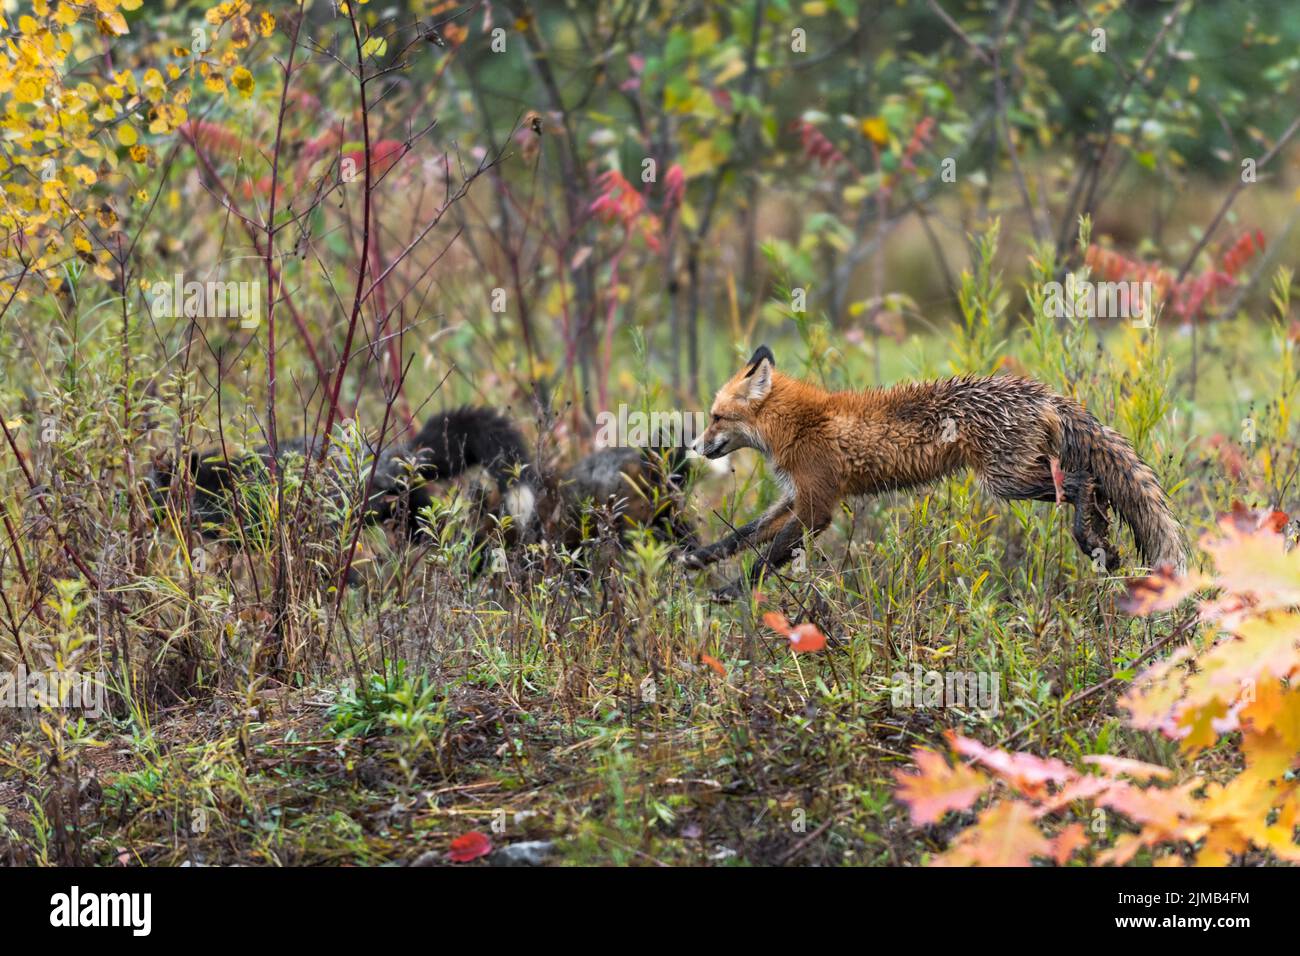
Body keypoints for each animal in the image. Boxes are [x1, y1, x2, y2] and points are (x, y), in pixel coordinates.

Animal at [684, 345, 1187, 601]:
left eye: (716, 417)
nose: (694, 448)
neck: (800, 422)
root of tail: (1039, 392)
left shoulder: (817, 506)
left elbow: (766, 558)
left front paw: (730, 592)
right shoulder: (795, 497)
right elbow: (744, 534)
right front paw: (698, 558)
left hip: (1005, 480)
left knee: (1084, 481)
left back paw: (1089, 537)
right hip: (1018, 473)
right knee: (1097, 485)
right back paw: (1103, 541)